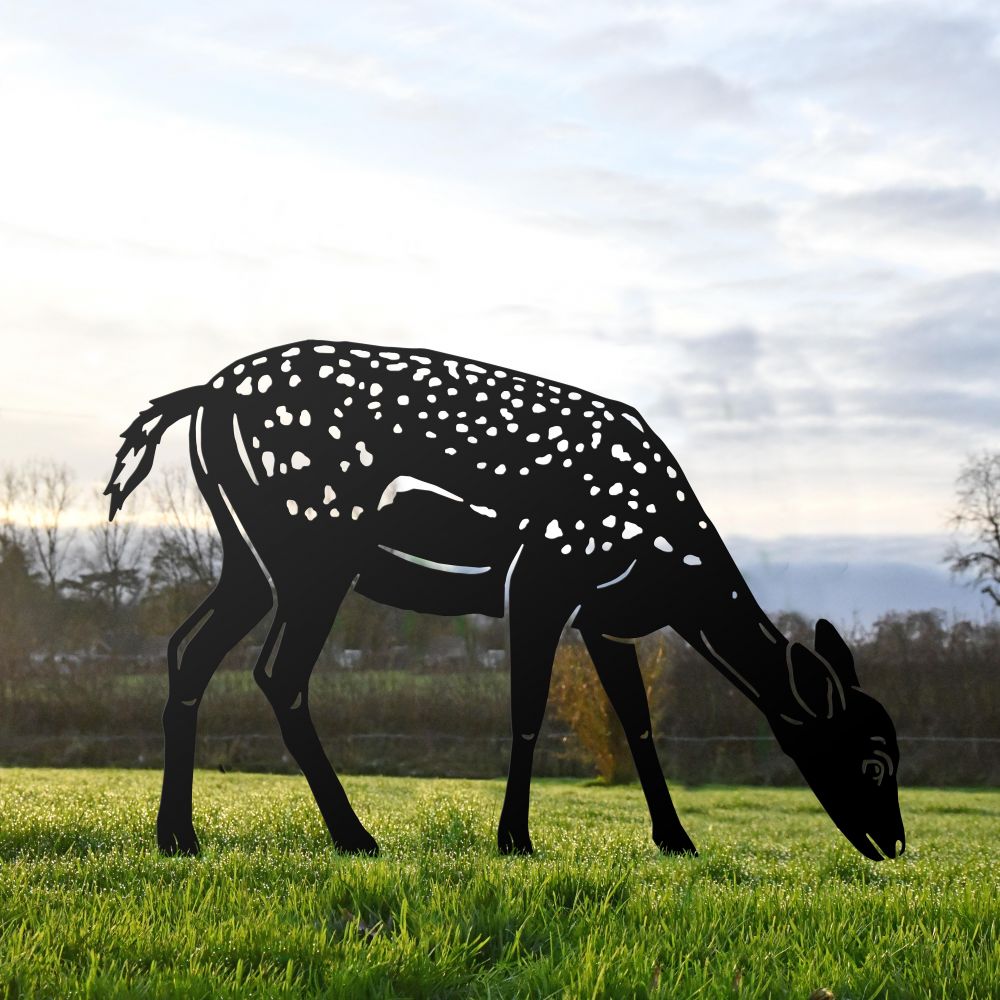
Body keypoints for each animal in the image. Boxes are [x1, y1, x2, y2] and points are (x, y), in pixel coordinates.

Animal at [105, 340, 905, 861]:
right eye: (872, 761)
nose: (895, 845)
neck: (667, 575)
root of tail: (202, 397)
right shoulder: (543, 576)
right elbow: (527, 709)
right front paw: (515, 841)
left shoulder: (605, 620)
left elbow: (638, 721)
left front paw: (677, 841)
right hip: (314, 540)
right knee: (277, 673)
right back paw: (356, 838)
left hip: (250, 554)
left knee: (187, 649)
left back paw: (178, 839)